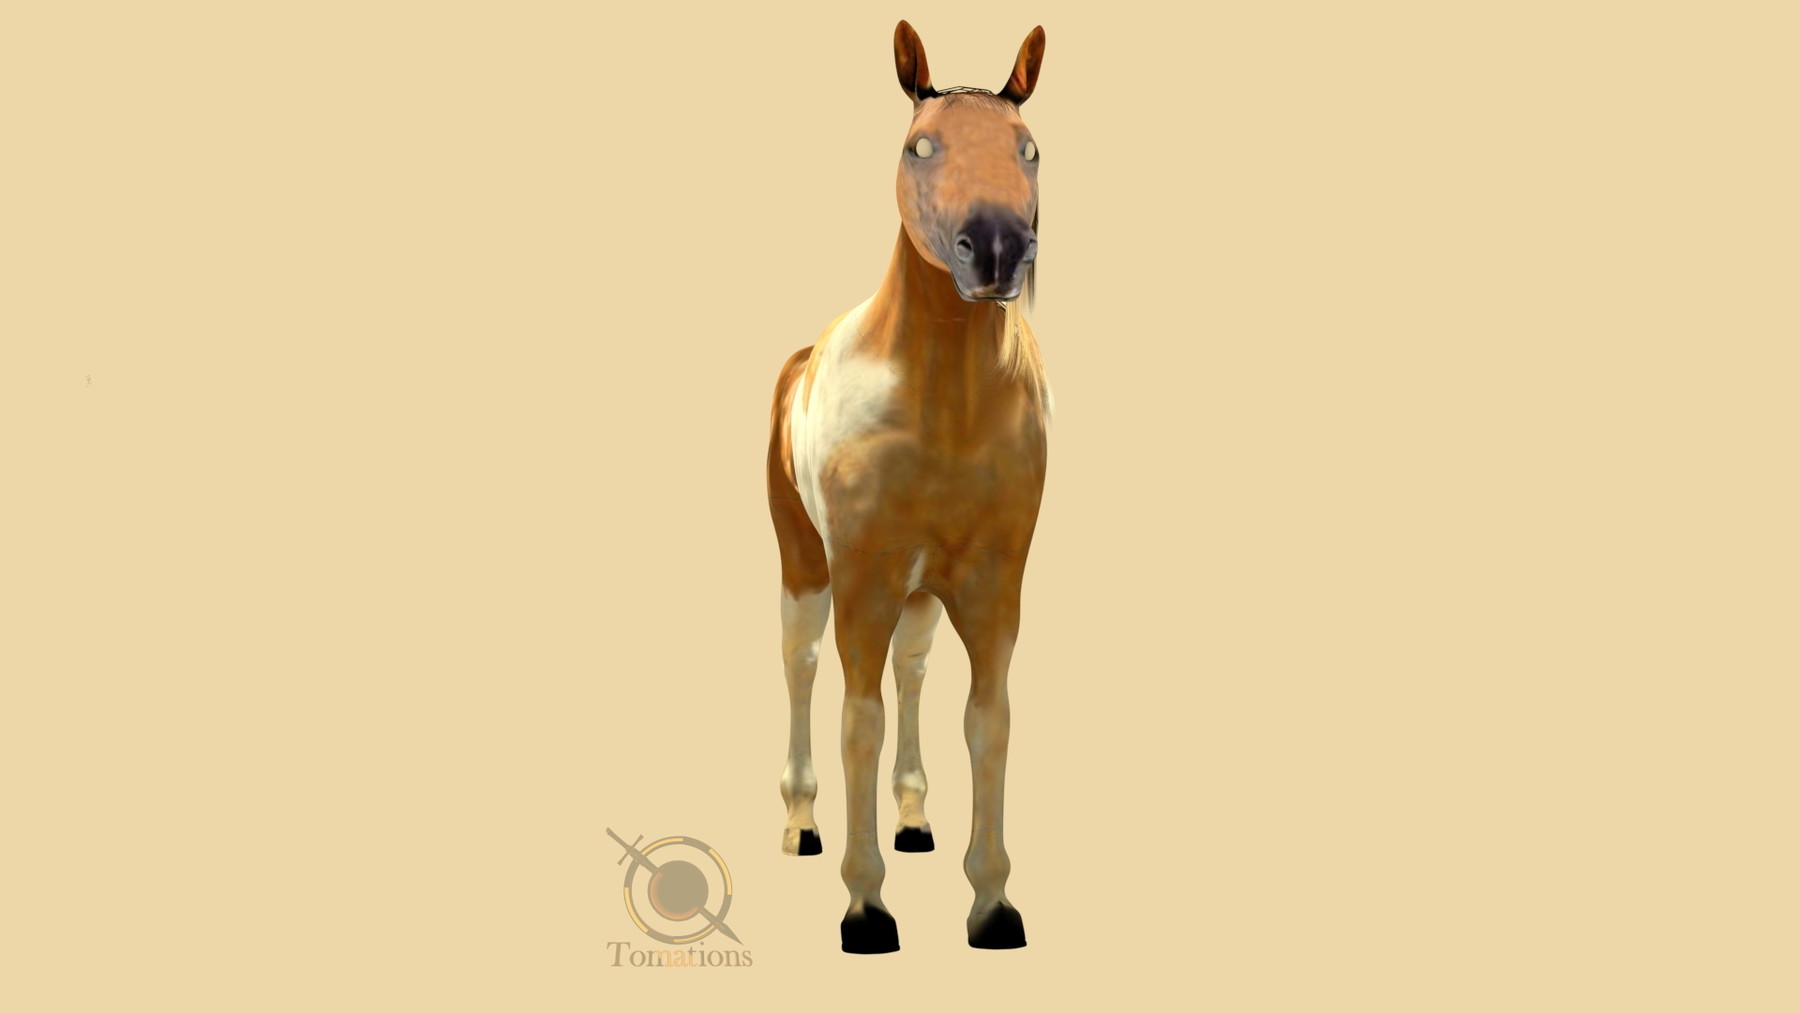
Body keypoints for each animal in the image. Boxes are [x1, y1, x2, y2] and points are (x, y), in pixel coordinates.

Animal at [765, 21, 1051, 953]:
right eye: (918, 146)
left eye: (1029, 149)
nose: (997, 248)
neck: (944, 407)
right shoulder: (862, 577)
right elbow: (859, 719)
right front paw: (865, 906)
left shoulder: (994, 585)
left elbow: (988, 723)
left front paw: (992, 901)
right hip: (804, 566)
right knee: (802, 665)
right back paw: (801, 825)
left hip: (922, 592)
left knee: (914, 669)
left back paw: (915, 818)